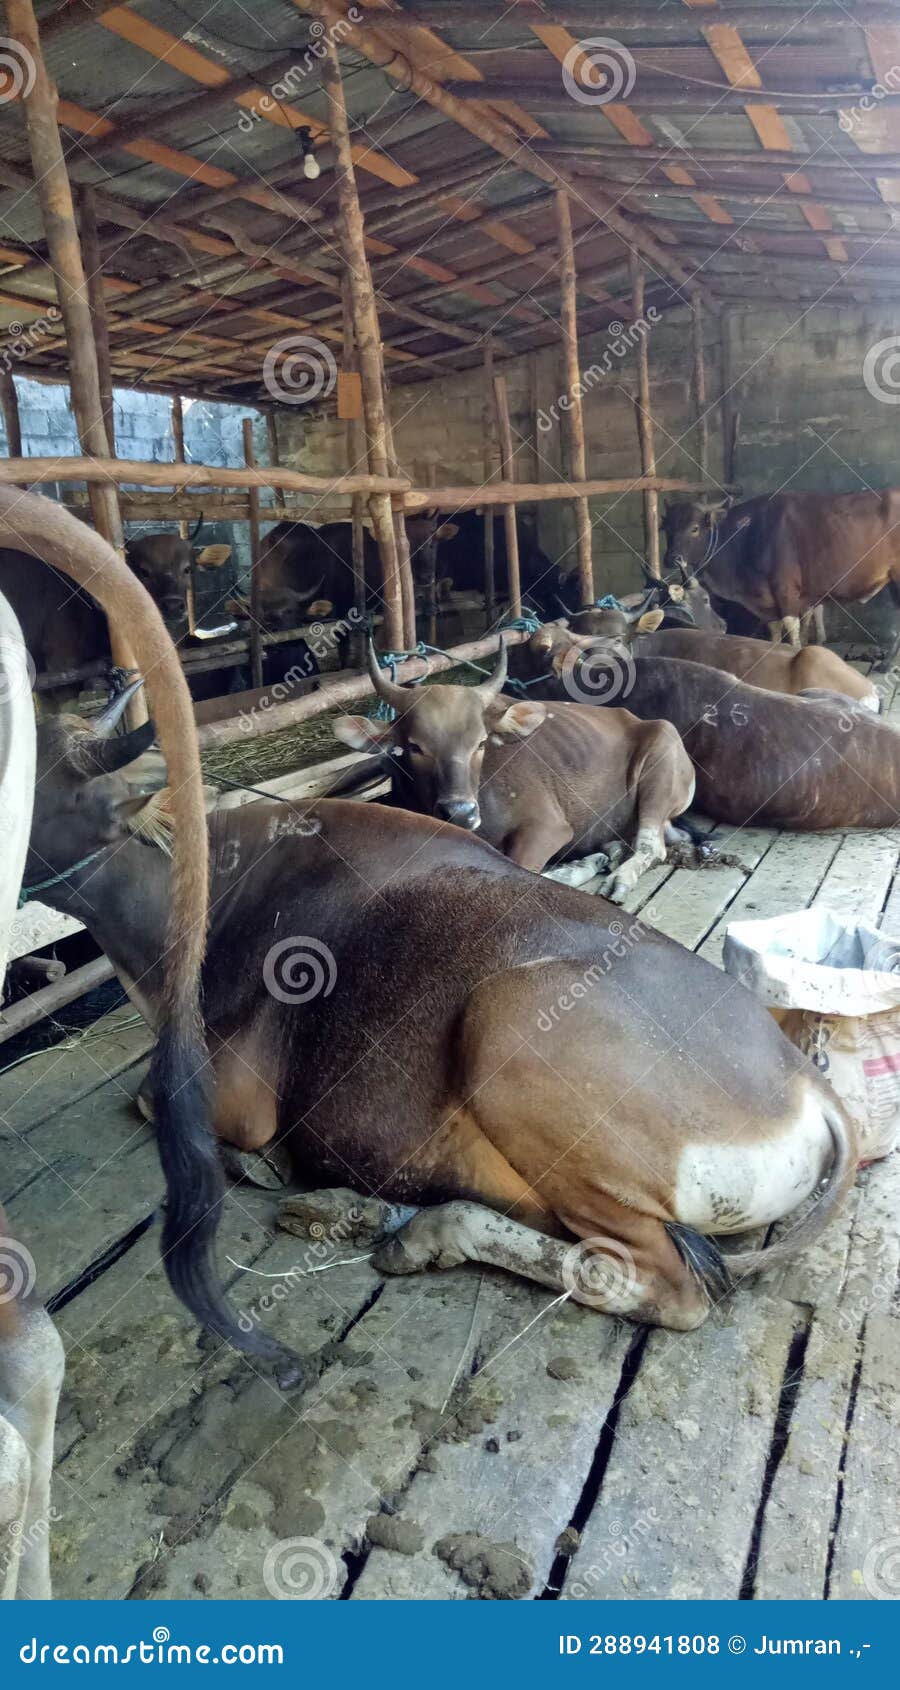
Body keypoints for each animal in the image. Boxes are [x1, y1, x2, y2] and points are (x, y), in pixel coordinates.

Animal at [22, 690, 858, 1337]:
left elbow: (150, 1102)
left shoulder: (230, 1094)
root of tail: (811, 1090)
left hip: (507, 1028)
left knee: (658, 1283)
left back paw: (417, 1231)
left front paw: (261, 1164)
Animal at [330, 640, 695, 903]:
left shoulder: (548, 827)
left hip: (661, 763)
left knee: (651, 846)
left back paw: (617, 878)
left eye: (480, 743)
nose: (460, 813)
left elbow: (520, 870)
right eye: (416, 747)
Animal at [662, 490, 900, 658]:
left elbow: (792, 630)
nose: (672, 559)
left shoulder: (786, 591)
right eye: (666, 529)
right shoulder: (766, 602)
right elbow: (775, 631)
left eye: (694, 528)